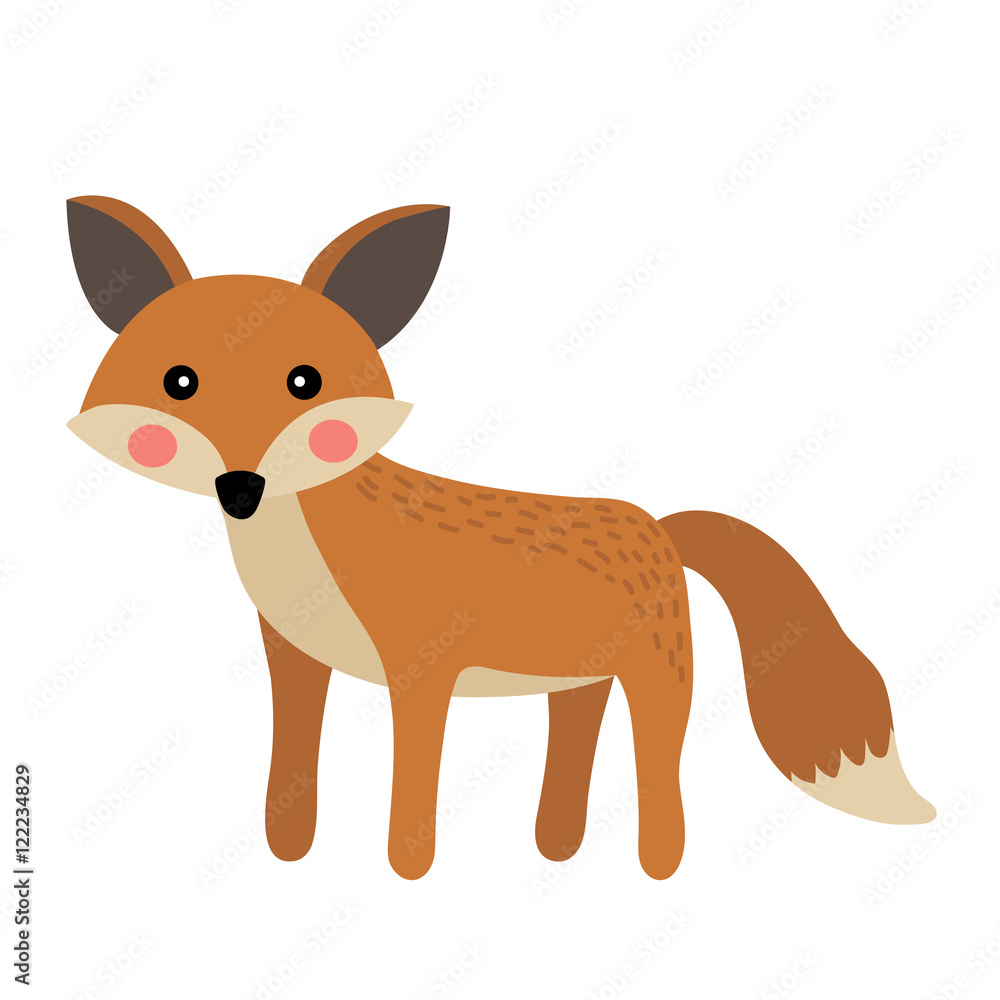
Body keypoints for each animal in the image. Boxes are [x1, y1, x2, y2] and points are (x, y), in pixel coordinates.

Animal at [66, 196, 935, 880]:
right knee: (576, 756)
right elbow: (292, 767)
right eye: (179, 383)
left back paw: (657, 867)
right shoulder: (294, 657)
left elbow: (412, 784)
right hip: (577, 681)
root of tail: (658, 524)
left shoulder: (422, 669)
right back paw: (558, 851)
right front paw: (289, 854)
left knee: (661, 771)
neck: (305, 565)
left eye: (304, 382)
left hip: (660, 682)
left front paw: (408, 869)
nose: (240, 488)